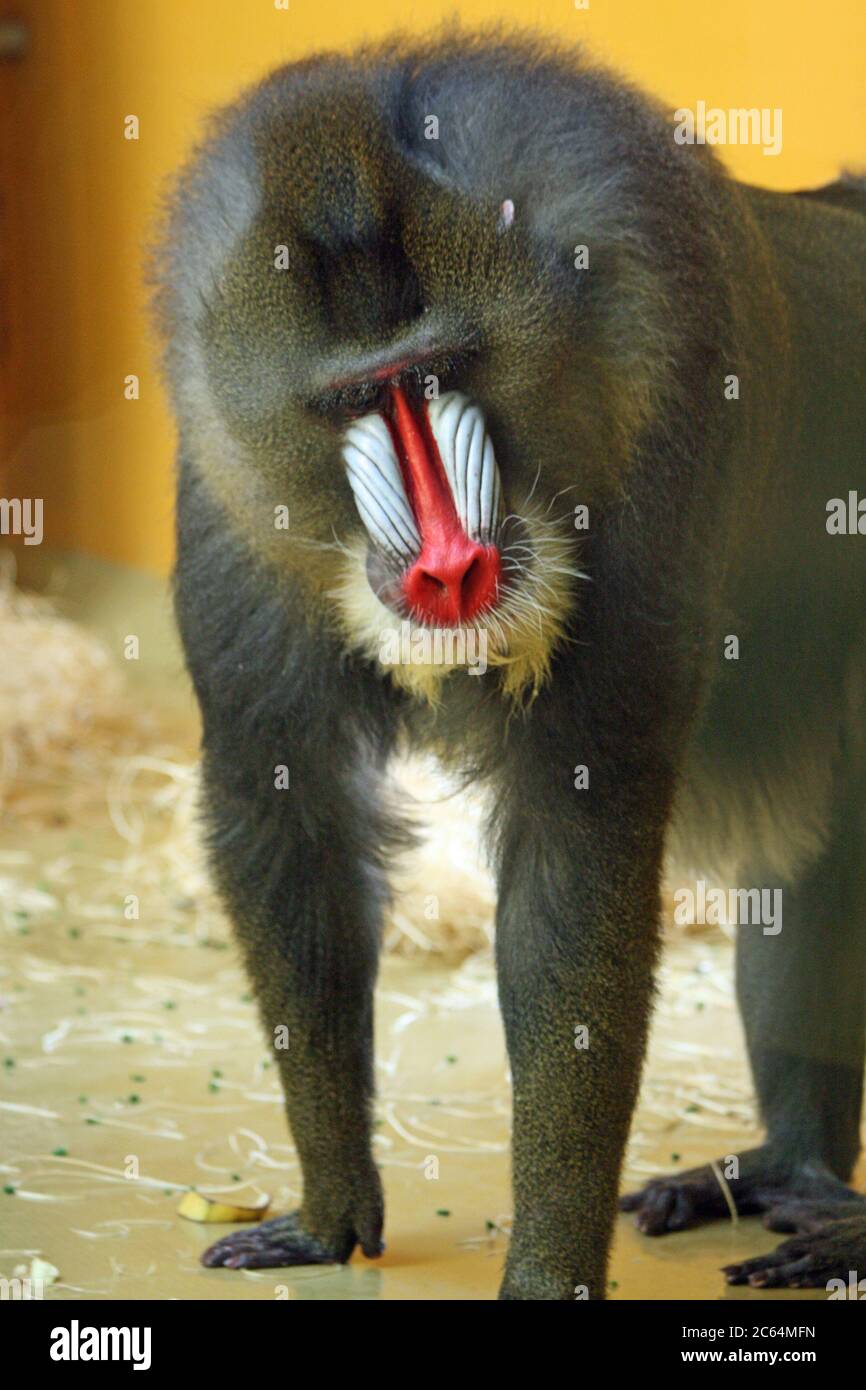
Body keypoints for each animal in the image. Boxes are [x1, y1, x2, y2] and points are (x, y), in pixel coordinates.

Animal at [151, 31, 866, 1299]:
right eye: (353, 396)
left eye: (437, 373)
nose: (452, 568)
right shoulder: (231, 493)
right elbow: (294, 827)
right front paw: (326, 1212)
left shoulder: (668, 421)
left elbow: (571, 886)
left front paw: (543, 1271)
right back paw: (777, 1171)